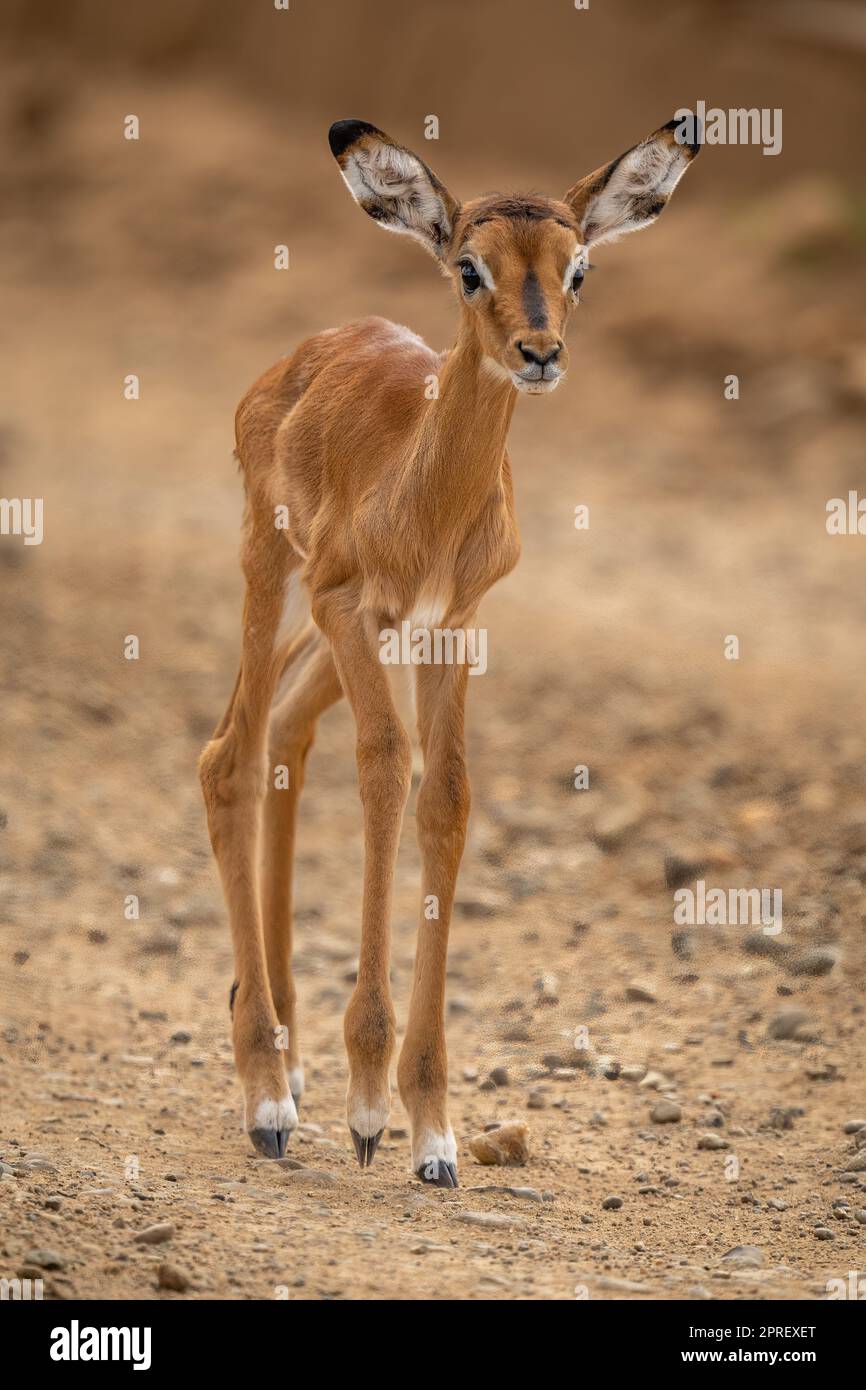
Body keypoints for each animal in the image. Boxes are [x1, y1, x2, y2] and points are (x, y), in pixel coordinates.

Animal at [199, 115, 700, 1185]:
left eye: (579, 267)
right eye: (469, 266)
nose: (539, 351)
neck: (424, 489)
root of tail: (299, 359)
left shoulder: (451, 625)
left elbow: (449, 800)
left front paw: (431, 1129)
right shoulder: (350, 605)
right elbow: (388, 770)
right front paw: (367, 1108)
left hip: (341, 634)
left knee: (282, 737)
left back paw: (289, 1063)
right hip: (275, 573)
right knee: (230, 759)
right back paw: (267, 1095)